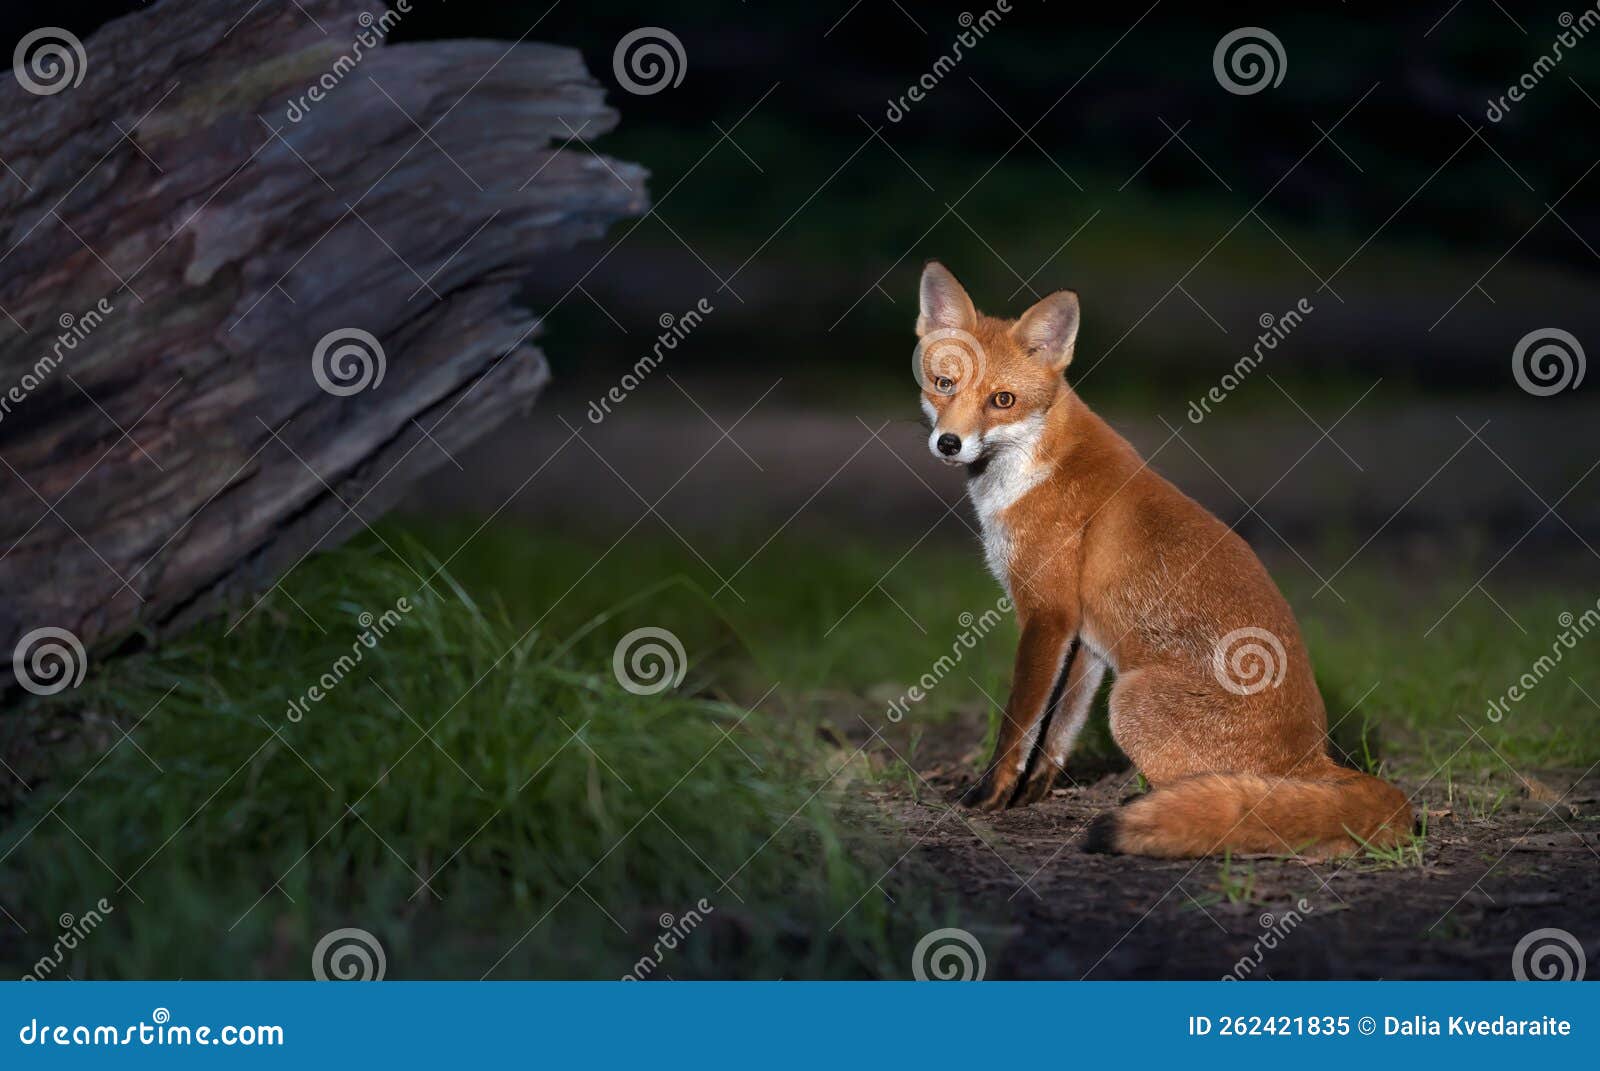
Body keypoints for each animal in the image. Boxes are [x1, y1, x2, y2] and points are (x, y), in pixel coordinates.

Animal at [913, 261, 1412, 858]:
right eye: (945, 384)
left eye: (1002, 400)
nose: (948, 443)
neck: (1033, 465)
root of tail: (1314, 756)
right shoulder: (1083, 635)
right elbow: (1058, 730)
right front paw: (1032, 793)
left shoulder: (1047, 614)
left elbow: (1019, 725)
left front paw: (989, 795)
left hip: (1129, 700)